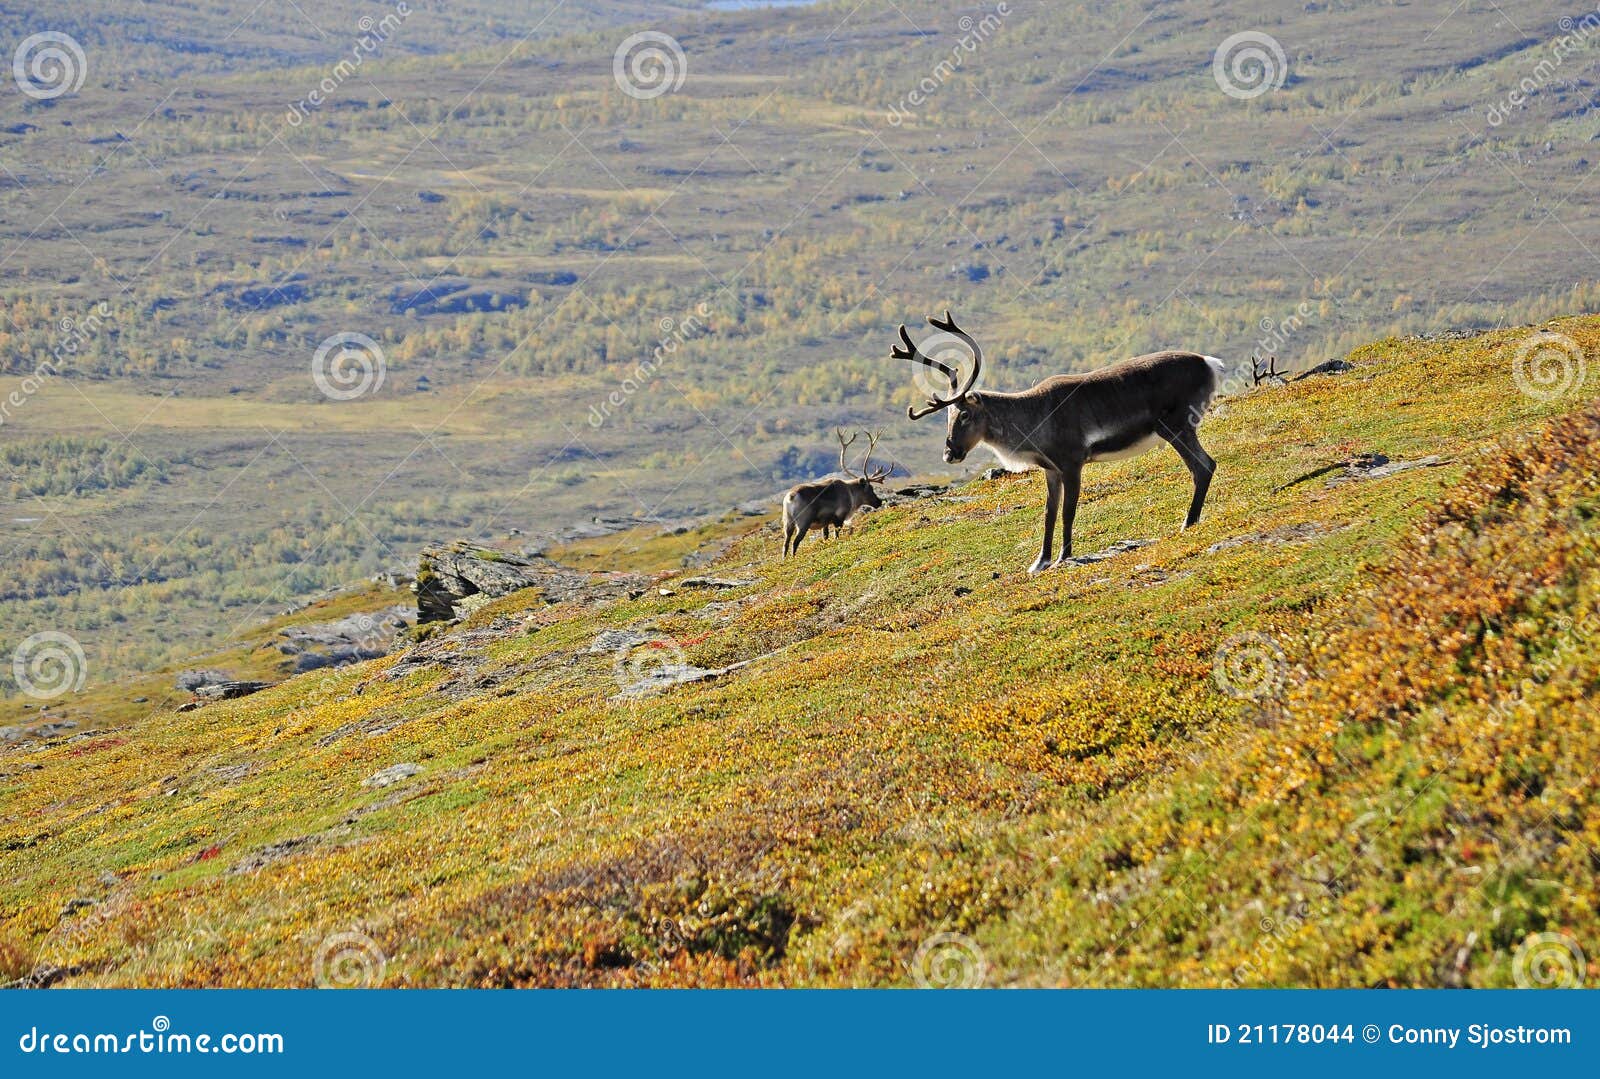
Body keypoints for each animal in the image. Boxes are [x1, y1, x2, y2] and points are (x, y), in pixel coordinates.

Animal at [781, 429, 893, 558]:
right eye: (871, 488)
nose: (879, 502)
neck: (851, 493)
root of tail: (791, 497)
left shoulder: (825, 522)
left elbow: (825, 536)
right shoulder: (839, 518)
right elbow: (836, 536)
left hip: (787, 521)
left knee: (785, 543)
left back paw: (784, 560)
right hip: (803, 522)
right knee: (795, 542)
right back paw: (793, 558)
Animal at [892, 311, 1226, 574]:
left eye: (964, 415)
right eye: (946, 416)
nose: (950, 454)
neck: (1031, 420)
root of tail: (1211, 363)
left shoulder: (1072, 462)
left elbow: (1068, 511)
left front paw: (1064, 557)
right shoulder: (1050, 469)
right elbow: (1048, 515)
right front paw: (1040, 561)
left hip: (1176, 426)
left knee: (1203, 465)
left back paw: (1188, 522)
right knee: (1205, 465)